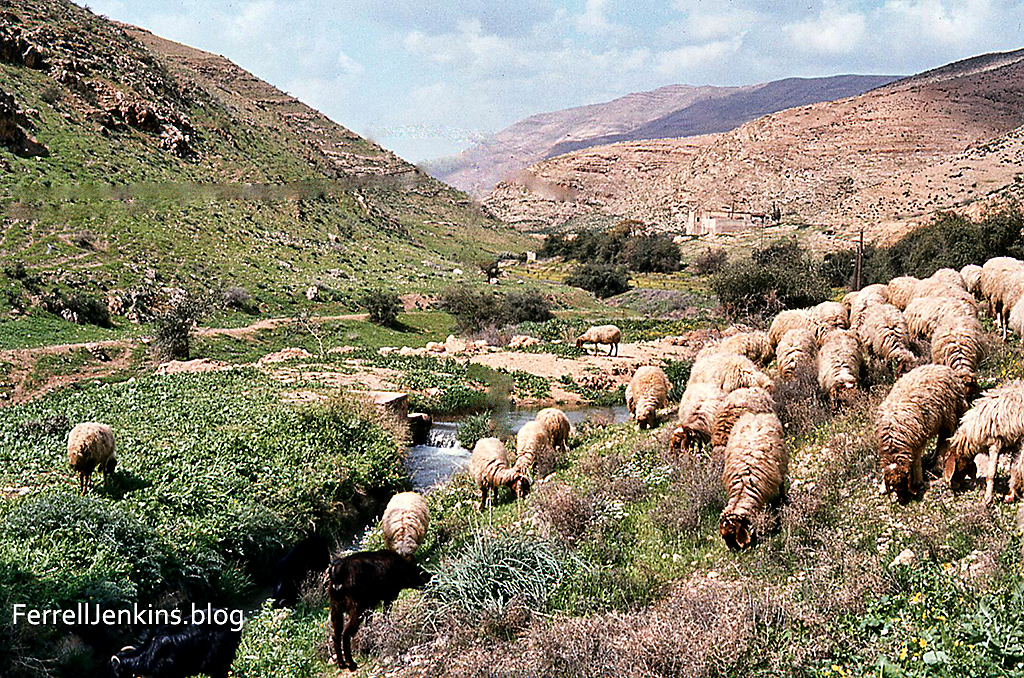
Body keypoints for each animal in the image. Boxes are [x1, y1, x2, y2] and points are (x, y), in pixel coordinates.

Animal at [719, 412, 788, 550]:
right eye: (724, 537)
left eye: (733, 533)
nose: (733, 551)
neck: (743, 485)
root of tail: (757, 415)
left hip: (781, 462)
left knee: (782, 483)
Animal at [875, 364, 967, 501]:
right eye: (893, 485)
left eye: (904, 482)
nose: (903, 501)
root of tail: (941, 367)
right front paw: (882, 487)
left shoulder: (918, 441)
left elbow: (917, 461)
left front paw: (918, 480)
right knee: (940, 441)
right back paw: (933, 459)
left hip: (948, 416)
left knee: (943, 441)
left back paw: (937, 465)